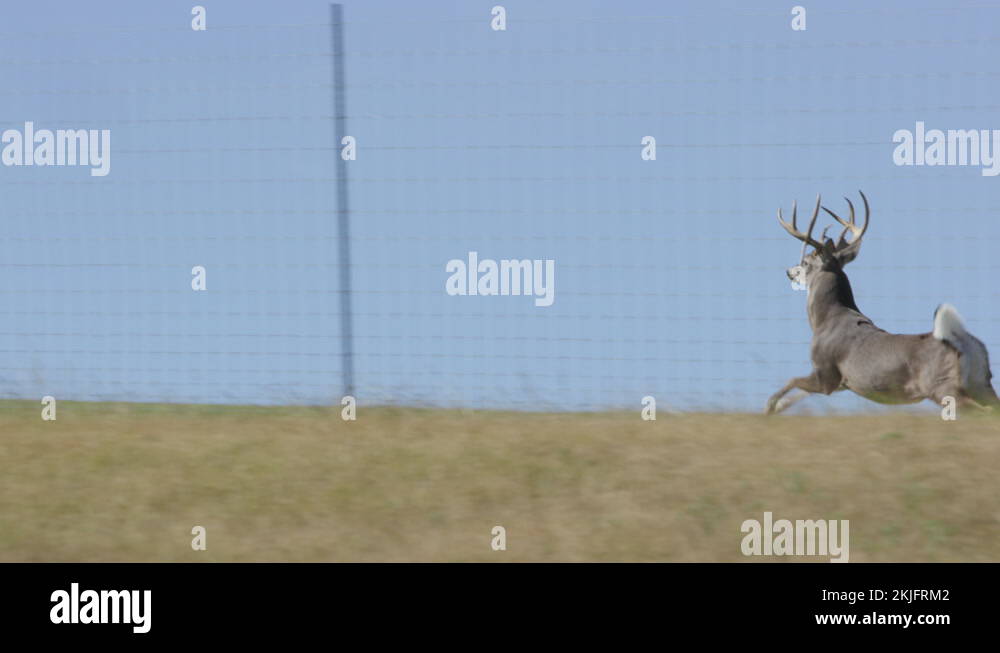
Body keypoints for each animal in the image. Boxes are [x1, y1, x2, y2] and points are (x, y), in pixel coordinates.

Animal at [765, 191, 998, 415]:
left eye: (805, 262)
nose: (789, 271)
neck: (826, 320)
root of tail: (963, 342)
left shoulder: (826, 372)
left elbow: (791, 381)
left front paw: (769, 407)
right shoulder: (842, 382)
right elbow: (797, 394)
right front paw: (778, 407)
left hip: (941, 385)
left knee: (983, 411)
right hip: (982, 384)